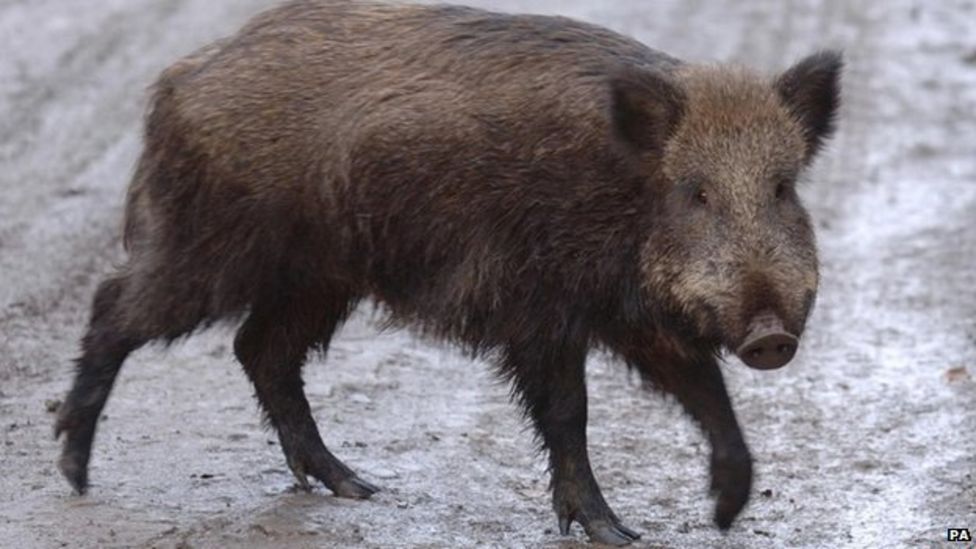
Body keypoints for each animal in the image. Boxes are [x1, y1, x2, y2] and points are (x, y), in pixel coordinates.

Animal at [54, 0, 841, 545]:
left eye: (782, 187)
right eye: (696, 192)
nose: (771, 335)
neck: (622, 196)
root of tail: (177, 80)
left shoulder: (637, 319)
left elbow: (709, 395)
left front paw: (726, 512)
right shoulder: (540, 309)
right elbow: (570, 413)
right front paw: (613, 532)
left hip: (319, 278)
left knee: (260, 349)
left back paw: (356, 487)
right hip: (210, 249)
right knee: (113, 307)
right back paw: (76, 472)